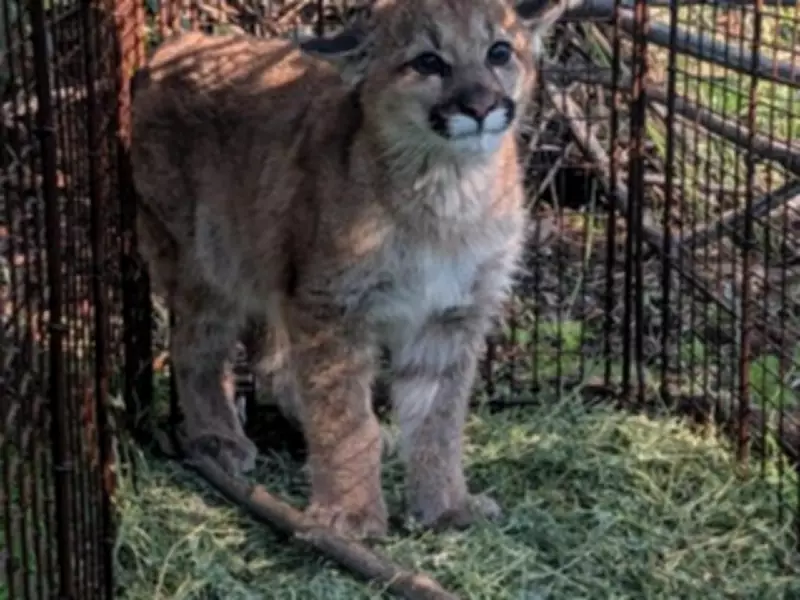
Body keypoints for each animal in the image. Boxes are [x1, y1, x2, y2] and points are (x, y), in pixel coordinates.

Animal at [129, 0, 567, 540]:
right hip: (205, 260)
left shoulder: (451, 313)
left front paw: (446, 506)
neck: (449, 186)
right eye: (428, 62)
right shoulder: (333, 306)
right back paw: (218, 439)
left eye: (499, 52)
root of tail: (176, 46)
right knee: (195, 349)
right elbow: (345, 418)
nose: (482, 107)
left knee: (275, 360)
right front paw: (350, 516)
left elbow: (438, 420)